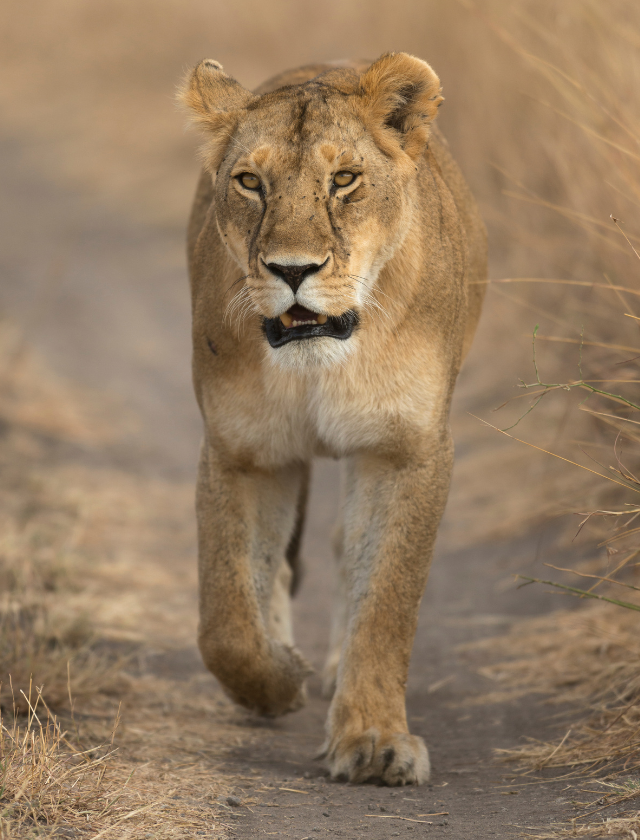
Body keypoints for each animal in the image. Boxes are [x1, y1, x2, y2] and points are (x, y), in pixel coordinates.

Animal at [180, 52, 486, 786]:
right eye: (250, 182)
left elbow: (386, 601)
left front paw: (373, 739)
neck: (319, 362)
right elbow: (226, 616)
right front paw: (277, 681)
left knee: (348, 550)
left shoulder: (406, 450)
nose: (293, 270)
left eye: (344, 180)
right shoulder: (241, 450)